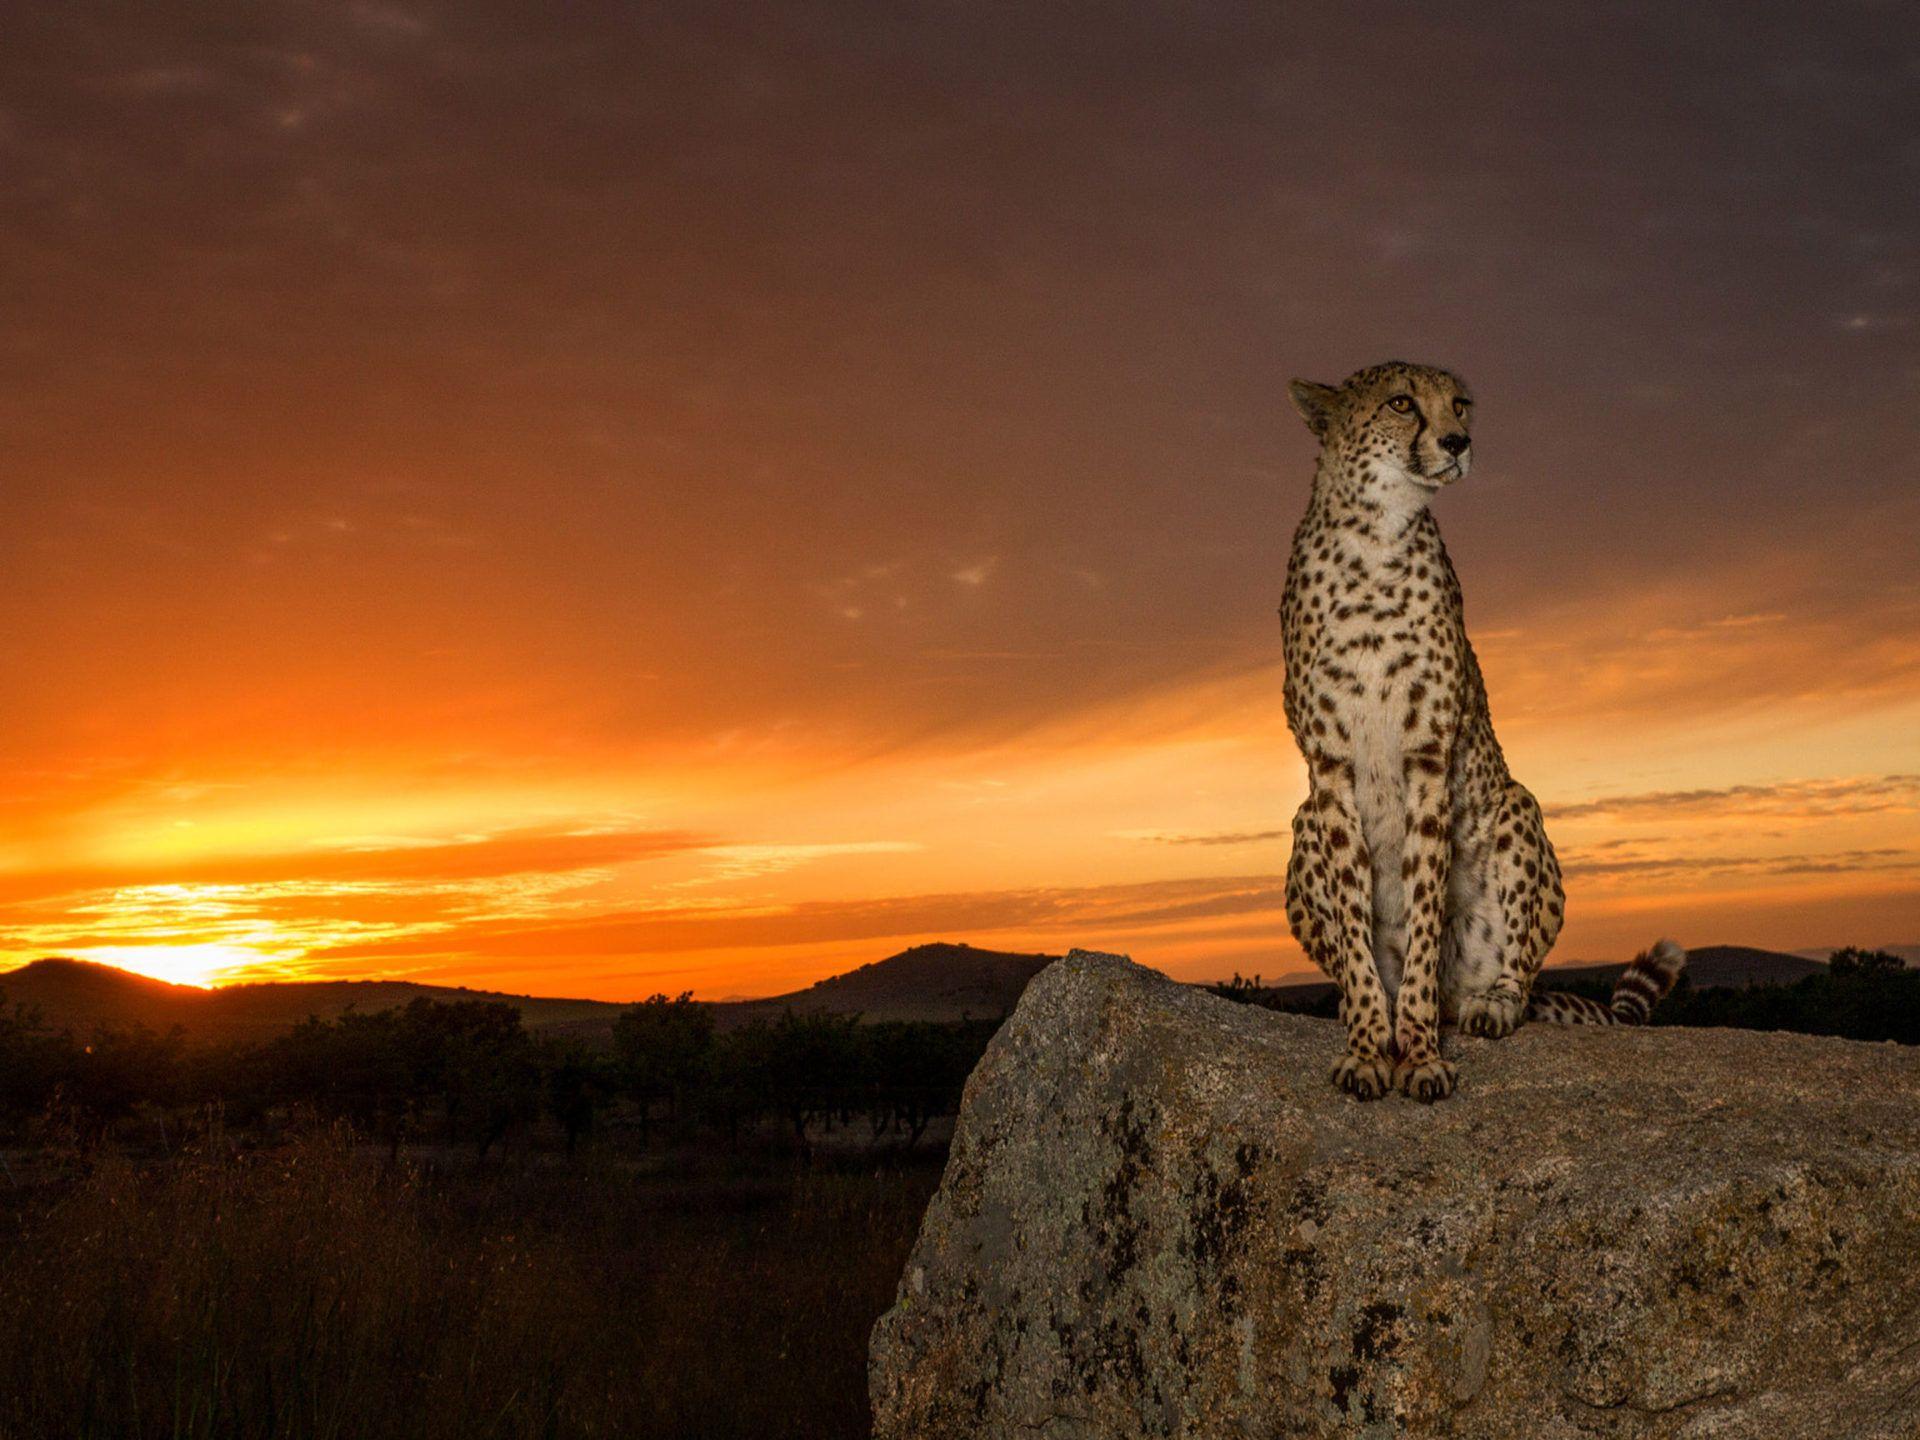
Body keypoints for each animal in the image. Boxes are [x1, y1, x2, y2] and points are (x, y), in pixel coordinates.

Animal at [1279, 360, 1685, 1102]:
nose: (1458, 440)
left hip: (1514, 806)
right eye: (1401, 403)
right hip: (1301, 824)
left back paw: (1488, 1002)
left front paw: (1419, 1056)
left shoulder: (1430, 759)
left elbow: (1423, 909)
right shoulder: (1329, 769)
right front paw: (1368, 1045)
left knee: (1512, 974)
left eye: (1461, 403)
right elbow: (1355, 925)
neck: (1374, 538)